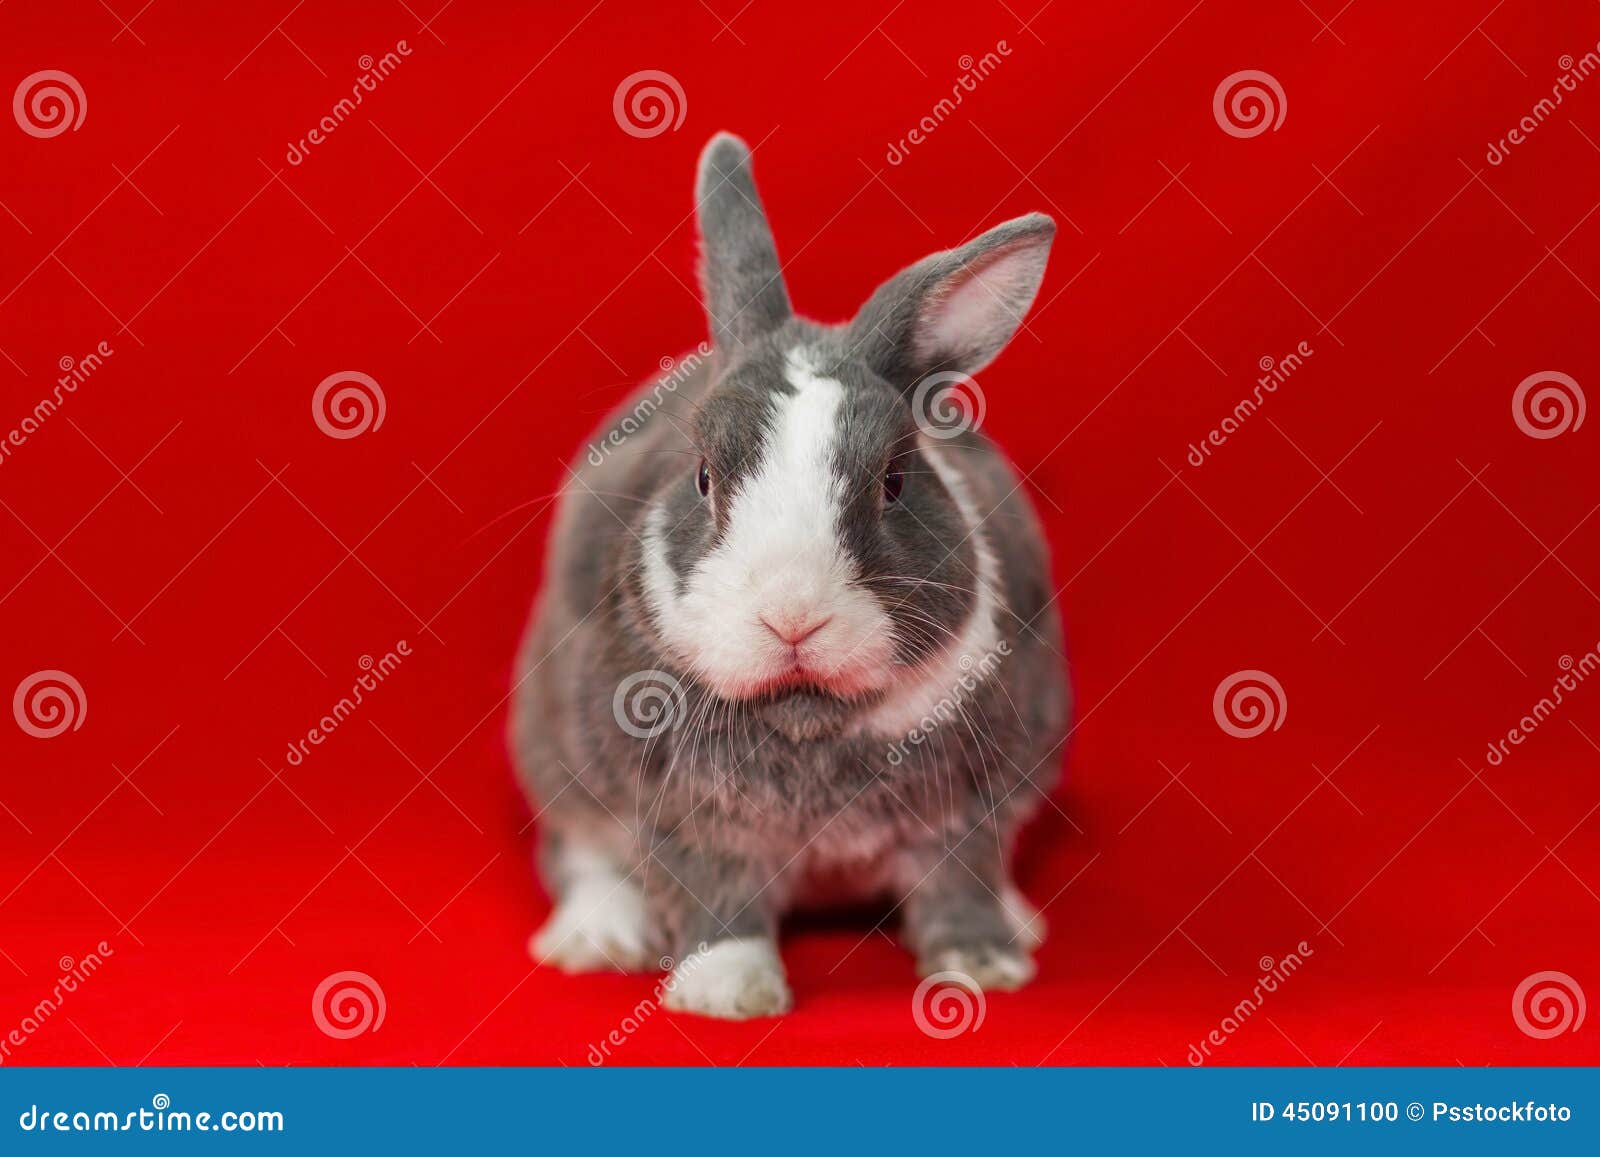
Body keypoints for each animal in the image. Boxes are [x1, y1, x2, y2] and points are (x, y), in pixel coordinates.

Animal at [511, 131, 1069, 1020]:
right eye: (704, 475)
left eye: (894, 481)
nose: (792, 617)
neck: (811, 713)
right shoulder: (688, 818)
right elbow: (714, 900)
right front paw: (728, 992)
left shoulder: (969, 805)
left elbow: (961, 881)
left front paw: (983, 965)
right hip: (552, 752)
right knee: (580, 854)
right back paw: (598, 938)